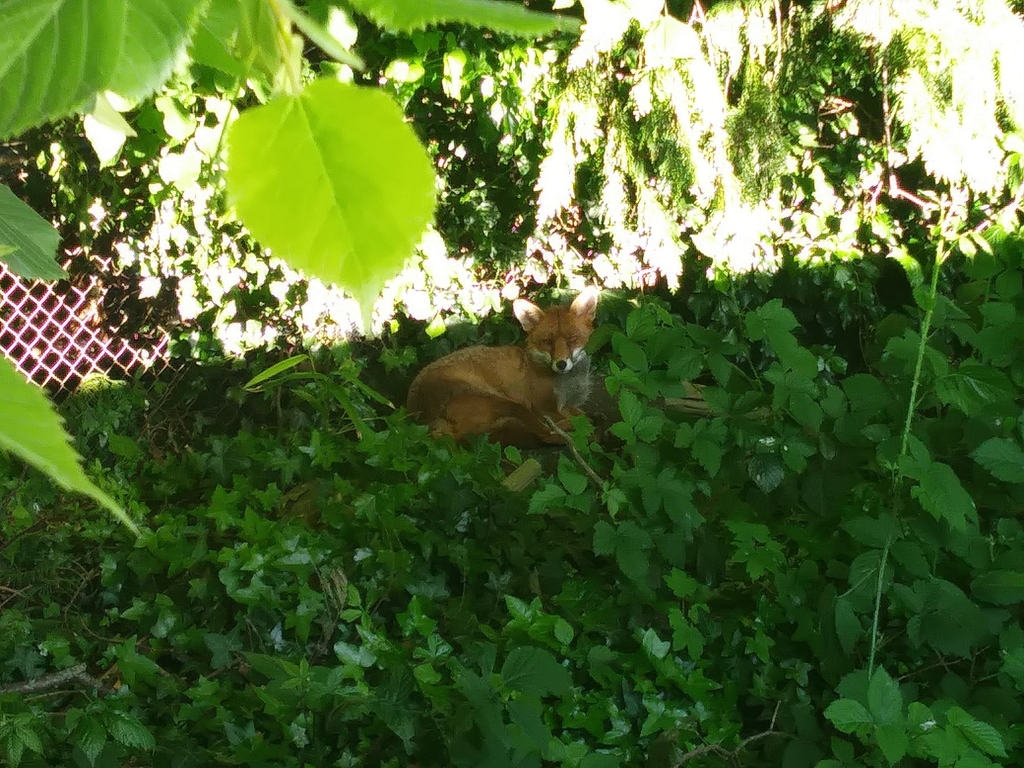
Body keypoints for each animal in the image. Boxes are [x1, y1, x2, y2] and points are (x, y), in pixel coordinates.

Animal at [406, 287, 600, 446]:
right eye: (547, 342)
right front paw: (583, 428)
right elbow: (575, 420)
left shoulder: (566, 405)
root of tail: (420, 413)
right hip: (508, 404)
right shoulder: (542, 407)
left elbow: (581, 415)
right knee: (546, 435)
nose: (561, 364)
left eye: (572, 340)